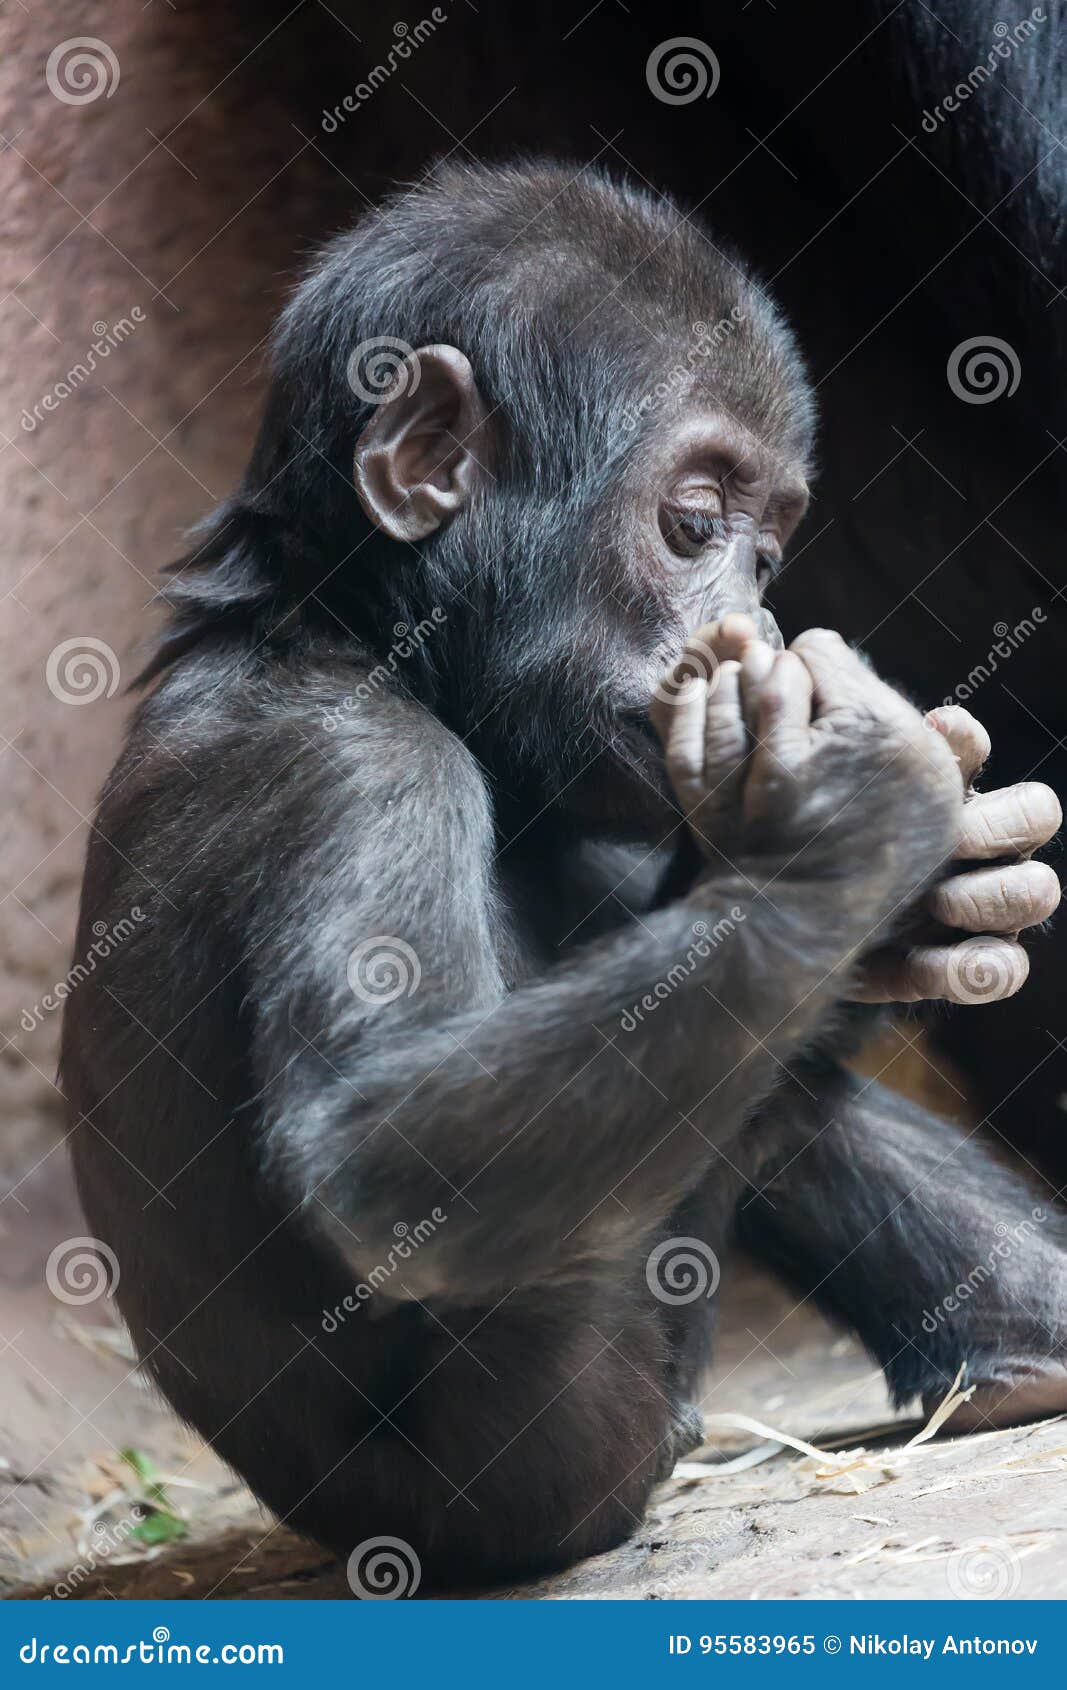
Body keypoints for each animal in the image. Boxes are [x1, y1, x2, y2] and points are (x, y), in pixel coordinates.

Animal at [61, 160, 1065, 1588]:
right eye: (692, 522)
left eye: (767, 549)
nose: (757, 617)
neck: (356, 632)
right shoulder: (355, 768)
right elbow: (382, 1150)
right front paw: (857, 812)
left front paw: (906, 891)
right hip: (554, 1460)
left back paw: (1020, 1341)